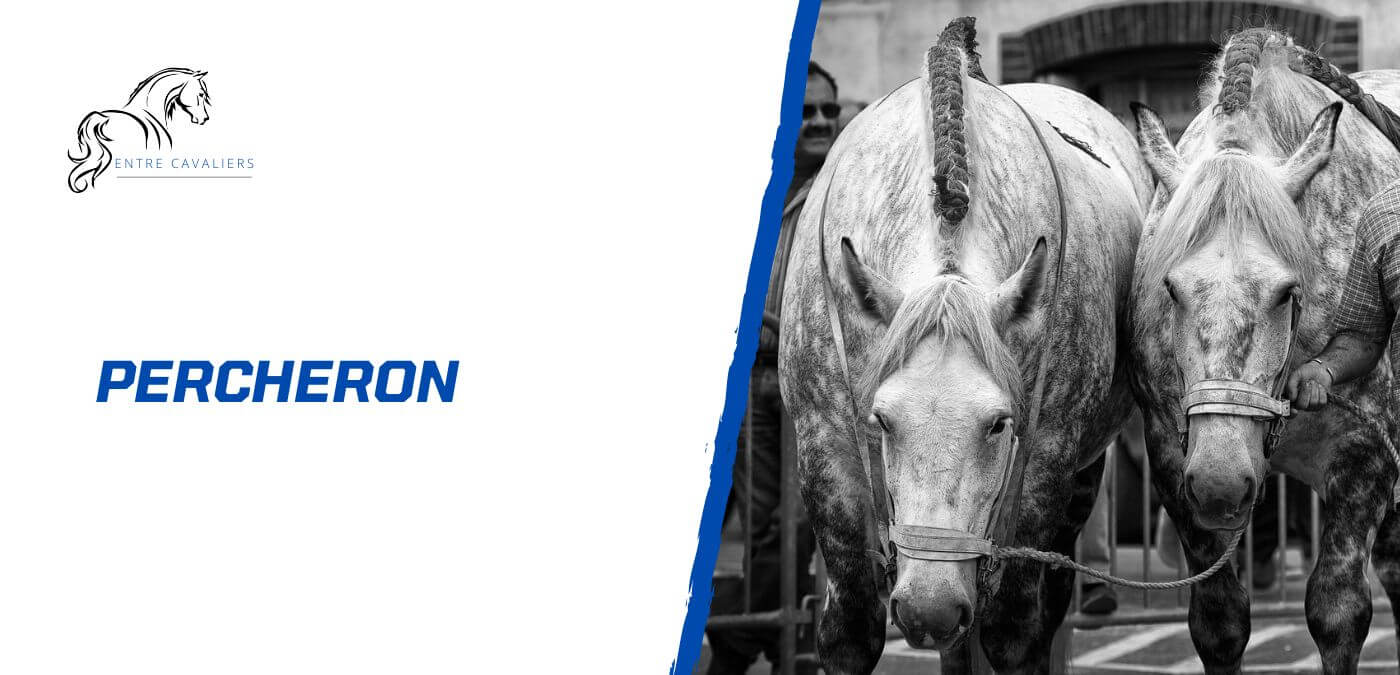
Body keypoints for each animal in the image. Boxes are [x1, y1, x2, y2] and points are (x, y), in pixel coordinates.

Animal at [778, 18, 1151, 673]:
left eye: (998, 424)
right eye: (881, 420)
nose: (927, 611)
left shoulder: (1047, 460)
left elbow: (1013, 632)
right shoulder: (823, 448)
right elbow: (850, 630)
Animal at [1127, 27, 1400, 672]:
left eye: (1286, 293)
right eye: (1170, 287)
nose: (1222, 483)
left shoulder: (1367, 455)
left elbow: (1337, 611)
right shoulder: (1172, 459)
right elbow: (1219, 622)